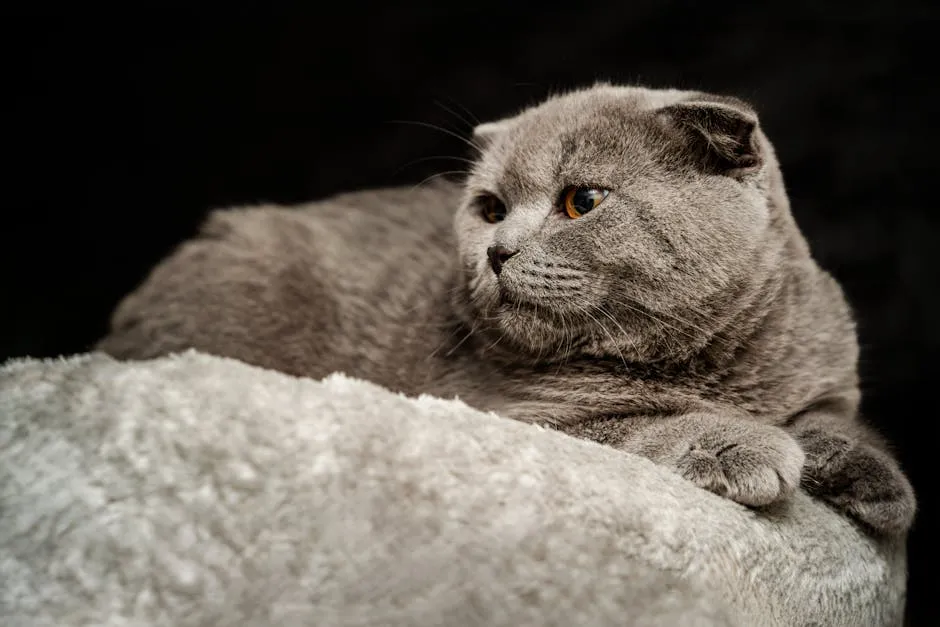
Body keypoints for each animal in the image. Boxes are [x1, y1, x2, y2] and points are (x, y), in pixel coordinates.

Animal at [99, 82, 916, 536]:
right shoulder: (517, 414)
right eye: (490, 209)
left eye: (581, 201)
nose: (496, 251)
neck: (713, 365)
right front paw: (738, 445)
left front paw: (879, 485)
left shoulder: (826, 379)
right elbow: (641, 423)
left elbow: (833, 423)